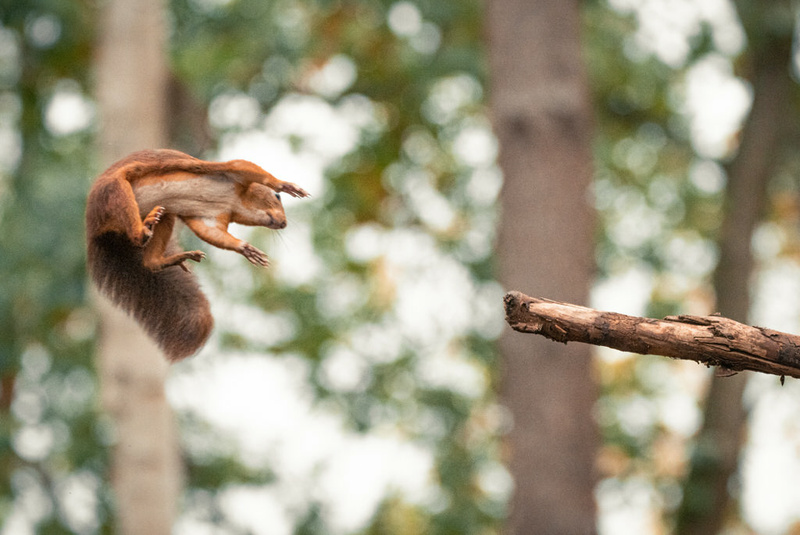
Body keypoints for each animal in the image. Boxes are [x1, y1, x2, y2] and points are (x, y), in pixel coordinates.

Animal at [86, 149, 309, 361]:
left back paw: (173, 256)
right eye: (276, 197)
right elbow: (244, 166)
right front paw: (285, 185)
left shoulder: (209, 219)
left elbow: (214, 234)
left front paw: (245, 248)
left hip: (166, 214)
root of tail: (95, 228)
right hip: (115, 193)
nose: (284, 223)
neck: (236, 203)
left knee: (150, 261)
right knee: (129, 217)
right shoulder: (230, 174)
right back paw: (144, 230)